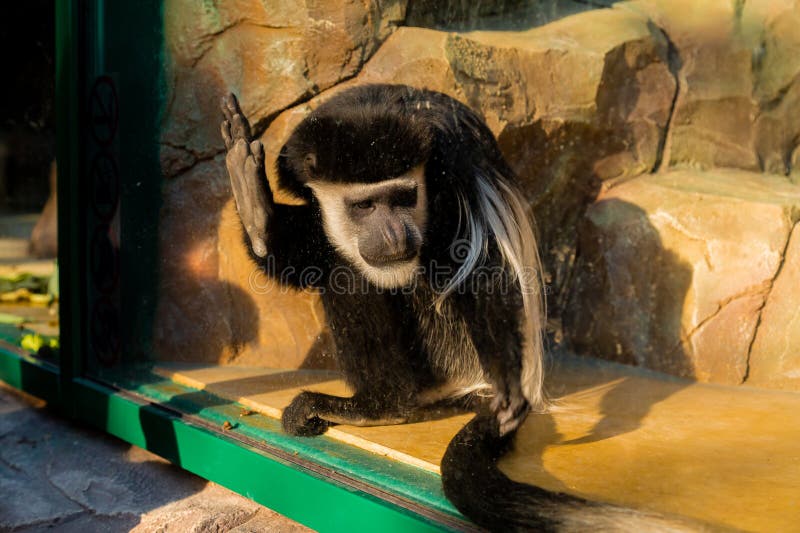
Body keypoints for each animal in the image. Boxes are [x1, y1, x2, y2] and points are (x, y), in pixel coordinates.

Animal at [220, 85, 703, 532]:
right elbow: (301, 259)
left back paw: (382, 407)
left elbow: (481, 270)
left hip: (450, 353)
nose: (394, 234)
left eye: (403, 197)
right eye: (365, 205)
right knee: (341, 258)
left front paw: (507, 373)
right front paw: (256, 208)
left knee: (355, 271)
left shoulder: (451, 178)